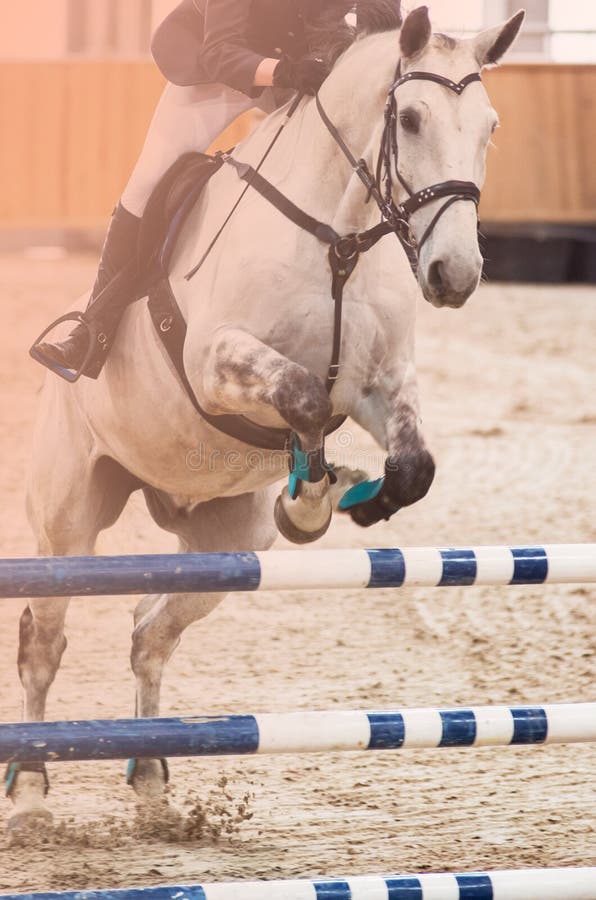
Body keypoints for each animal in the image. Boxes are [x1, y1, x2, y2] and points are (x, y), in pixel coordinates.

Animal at [10, 3, 524, 830]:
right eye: (410, 118)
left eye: (490, 126)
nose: (456, 274)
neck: (340, 235)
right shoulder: (217, 362)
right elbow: (302, 396)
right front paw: (311, 499)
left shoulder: (379, 385)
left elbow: (412, 464)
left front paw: (353, 494)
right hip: (67, 523)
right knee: (44, 640)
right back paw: (28, 790)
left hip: (227, 541)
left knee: (150, 634)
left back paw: (152, 782)